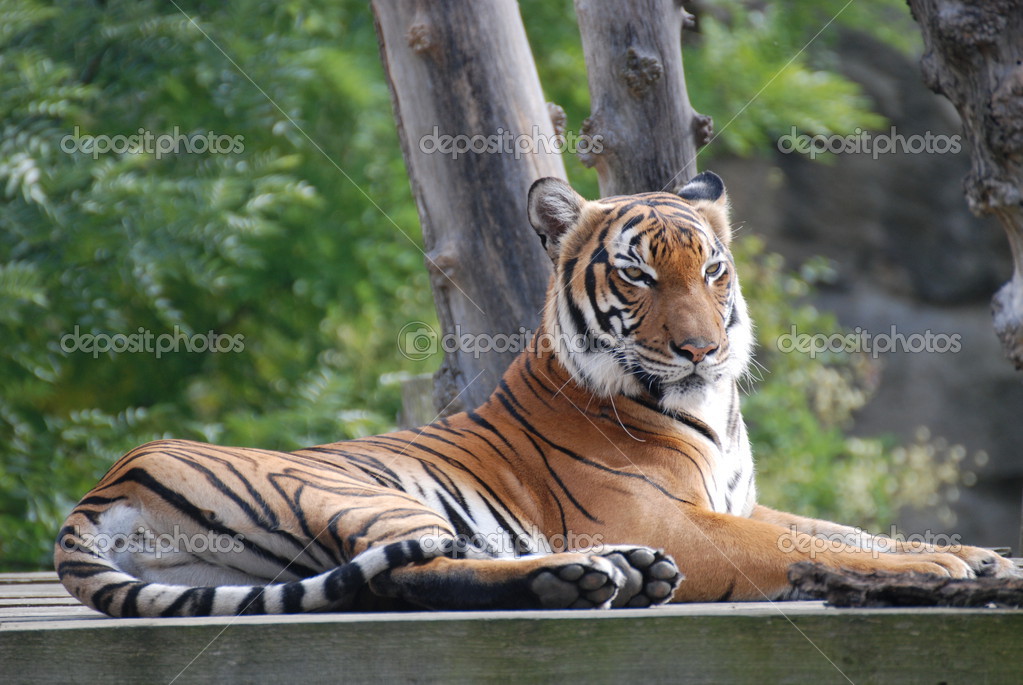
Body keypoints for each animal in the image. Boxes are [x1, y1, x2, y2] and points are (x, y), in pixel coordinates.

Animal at [54, 171, 1017, 617]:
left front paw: (973, 554)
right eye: (637, 275)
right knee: (407, 575)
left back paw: (615, 572)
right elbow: (800, 545)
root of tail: (106, 482)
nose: (703, 349)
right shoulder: (686, 520)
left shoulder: (735, 501)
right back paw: (582, 575)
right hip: (358, 493)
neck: (712, 412)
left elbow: (844, 527)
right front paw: (936, 568)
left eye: (711, 270)